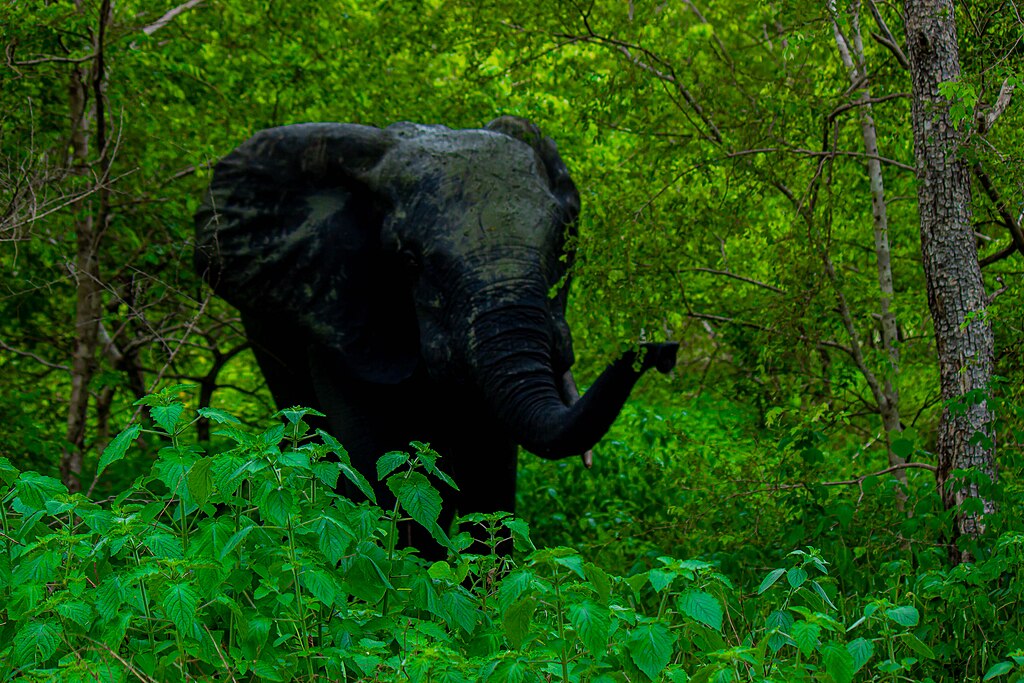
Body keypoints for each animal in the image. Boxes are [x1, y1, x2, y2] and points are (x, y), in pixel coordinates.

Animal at [194, 116, 677, 559]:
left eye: (561, 249)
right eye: (409, 260)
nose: (662, 348)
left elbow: (490, 467)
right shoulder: (339, 315)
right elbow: (374, 464)